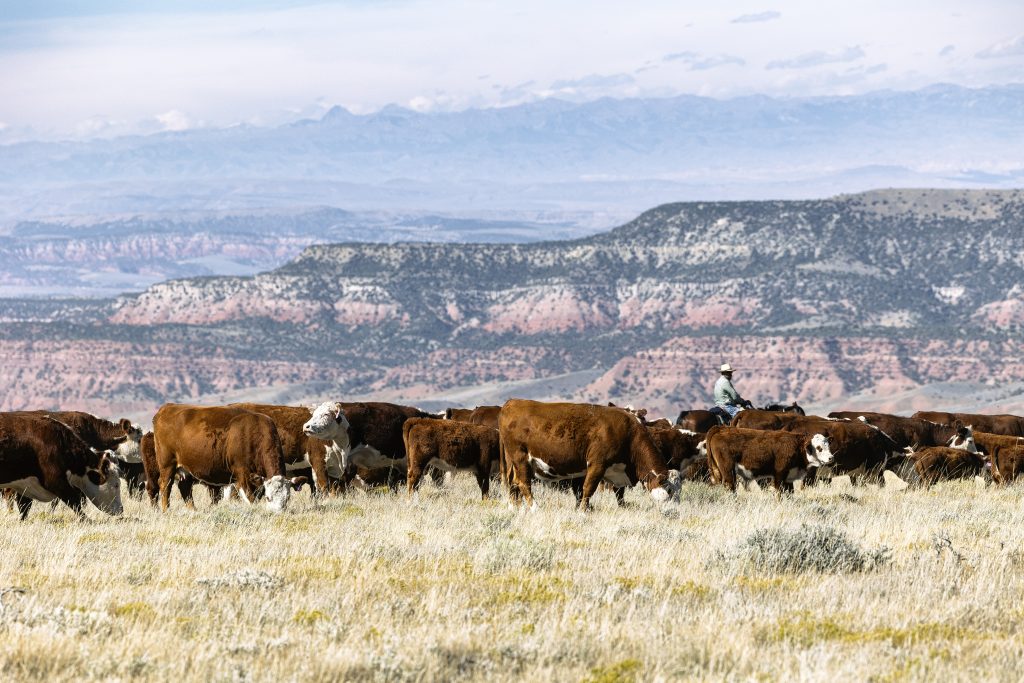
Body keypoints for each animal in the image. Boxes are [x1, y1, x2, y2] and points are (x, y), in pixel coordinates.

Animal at [153, 404, 305, 512]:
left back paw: (193, 511)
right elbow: (250, 498)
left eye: (287, 498)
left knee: (184, 487)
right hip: (167, 464)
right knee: (165, 485)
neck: (255, 434)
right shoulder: (242, 473)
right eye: (268, 498)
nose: (278, 513)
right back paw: (166, 510)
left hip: (186, 468)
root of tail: (167, 407)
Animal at [498, 399, 679, 511]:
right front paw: (584, 510)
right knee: (523, 483)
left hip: (512, 461)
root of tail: (512, 402)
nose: (675, 509)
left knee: (513, 483)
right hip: (521, 458)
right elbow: (588, 489)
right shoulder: (597, 464)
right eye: (670, 490)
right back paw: (534, 507)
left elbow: (614, 492)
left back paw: (515, 507)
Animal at [705, 425, 834, 493]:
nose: (831, 458)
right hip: (728, 471)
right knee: (730, 486)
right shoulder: (779, 475)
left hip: (716, 471)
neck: (797, 446)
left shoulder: (788, 477)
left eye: (828, 445)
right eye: (819, 448)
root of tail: (721, 428)